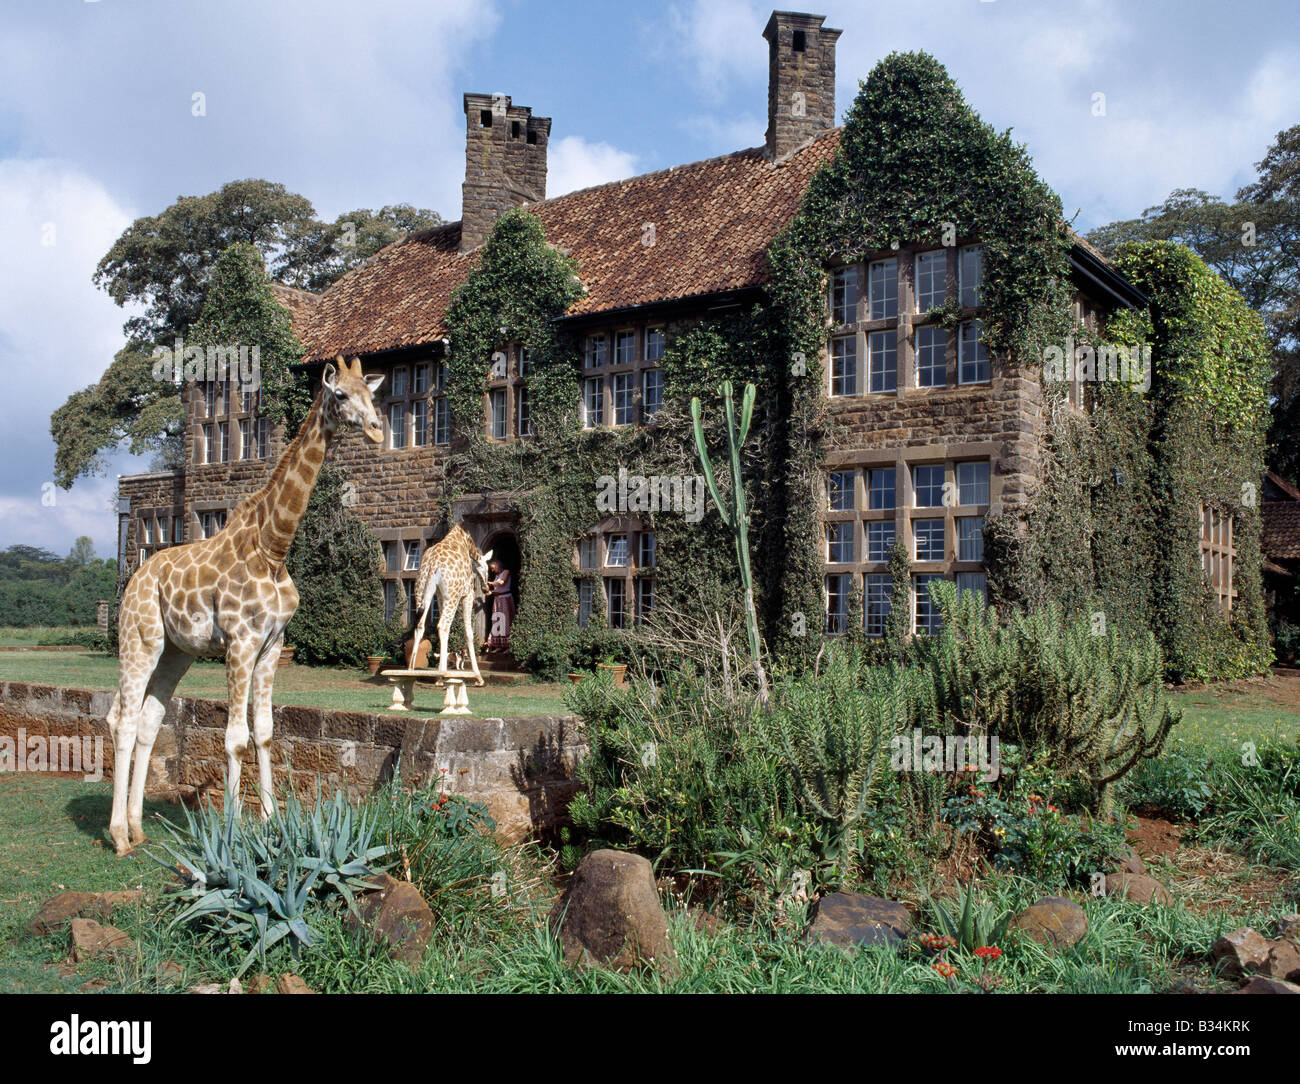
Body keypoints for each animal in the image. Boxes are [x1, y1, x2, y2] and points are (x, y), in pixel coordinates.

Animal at [106, 355, 385, 855]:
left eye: (371, 394)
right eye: (340, 395)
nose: (375, 429)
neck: (273, 548)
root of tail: (135, 576)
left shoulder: (272, 645)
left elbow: (268, 733)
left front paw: (274, 825)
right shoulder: (239, 642)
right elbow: (235, 738)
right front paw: (234, 832)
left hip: (176, 651)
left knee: (149, 720)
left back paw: (137, 828)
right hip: (139, 639)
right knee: (122, 718)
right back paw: (119, 836)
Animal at [409, 524, 493, 687]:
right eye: (486, 568)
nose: (486, 588)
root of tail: (433, 563)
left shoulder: (441, 595)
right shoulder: (468, 594)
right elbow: (469, 632)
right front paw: (478, 677)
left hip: (422, 590)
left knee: (420, 626)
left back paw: (410, 672)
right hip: (453, 595)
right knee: (442, 625)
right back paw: (441, 675)